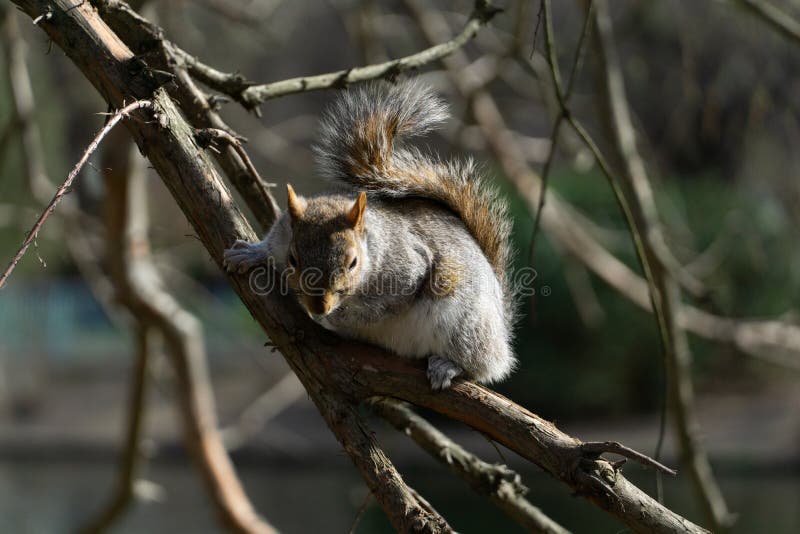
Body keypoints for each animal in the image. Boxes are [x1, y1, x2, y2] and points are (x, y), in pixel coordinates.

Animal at [223, 81, 516, 390]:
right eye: (292, 258)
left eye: (352, 262)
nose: (320, 307)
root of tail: (500, 327)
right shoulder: (282, 231)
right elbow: (269, 246)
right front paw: (250, 253)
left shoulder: (406, 268)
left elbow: (382, 306)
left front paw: (337, 317)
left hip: (466, 324)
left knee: (483, 365)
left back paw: (449, 366)